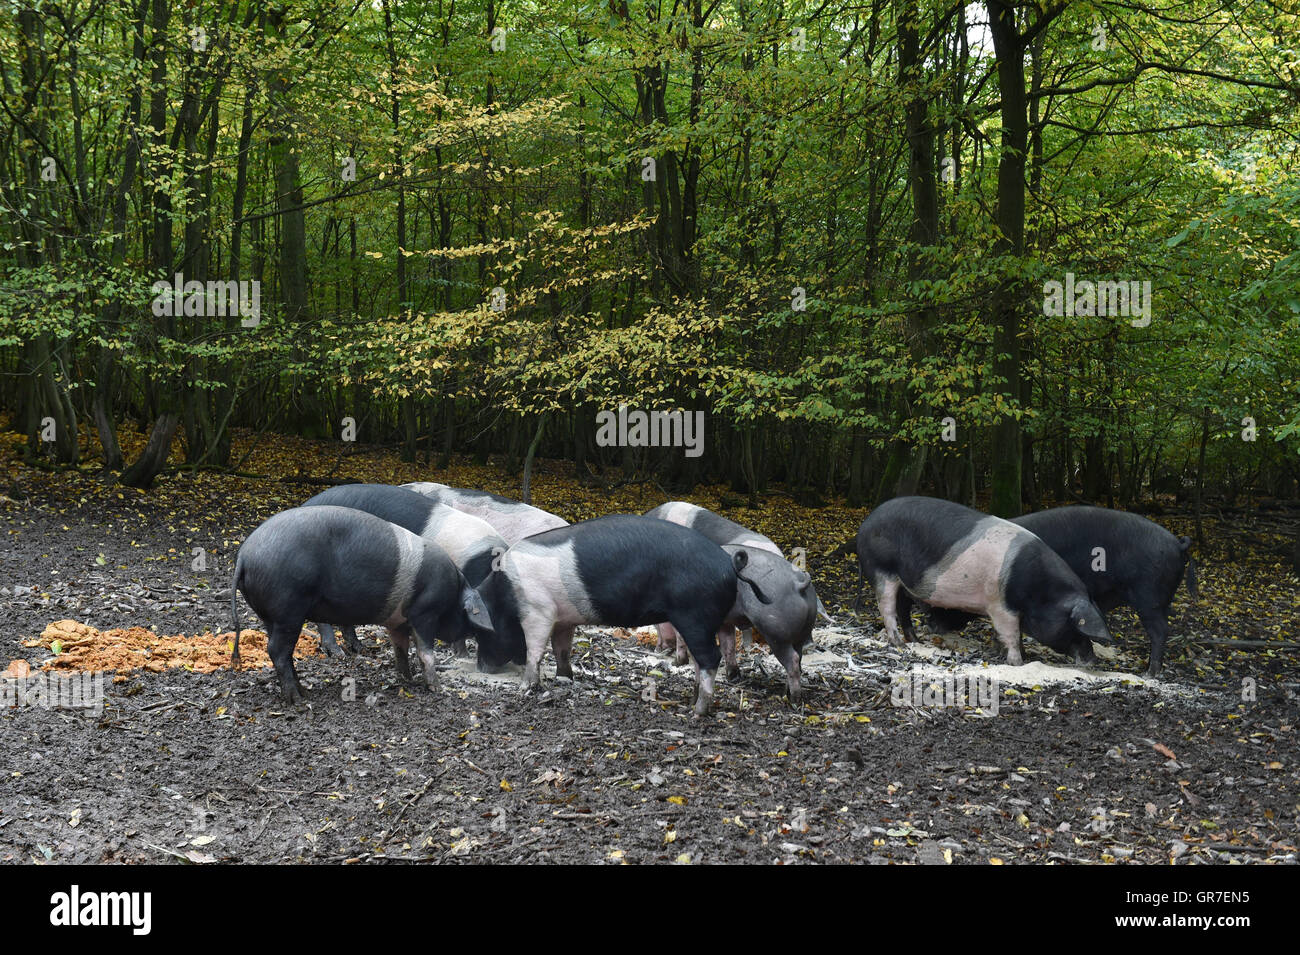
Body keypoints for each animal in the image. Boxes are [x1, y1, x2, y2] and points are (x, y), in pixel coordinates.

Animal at [230, 505, 494, 701]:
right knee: (277, 651)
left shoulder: (397, 621)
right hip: (288, 610)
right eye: (466, 615)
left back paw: (303, 691)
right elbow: (425, 653)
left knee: (282, 650)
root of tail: (244, 556)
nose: (476, 636)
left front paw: (406, 680)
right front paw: (437, 689)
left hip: (271, 616)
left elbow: (400, 649)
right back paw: (298, 699)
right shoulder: (424, 613)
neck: (454, 592)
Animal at [473, 514, 778, 717]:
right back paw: (692, 701)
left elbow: (535, 650)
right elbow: (562, 649)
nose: (482, 667)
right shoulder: (563, 618)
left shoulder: (538, 610)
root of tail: (729, 564)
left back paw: (697, 711)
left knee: (710, 657)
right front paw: (565, 678)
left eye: (483, 633)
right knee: (701, 659)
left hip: (694, 616)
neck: (506, 592)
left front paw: (526, 688)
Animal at [643, 501, 827, 700]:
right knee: (798, 656)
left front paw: (678, 663)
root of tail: (798, 583)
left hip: (775, 629)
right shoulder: (725, 621)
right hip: (799, 630)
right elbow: (727, 644)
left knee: (792, 660)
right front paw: (732, 675)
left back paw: (792, 698)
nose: (658, 648)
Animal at [853, 496, 1111, 665]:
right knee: (886, 607)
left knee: (903, 608)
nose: (1092, 661)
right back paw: (899, 644)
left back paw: (915, 640)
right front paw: (1018, 663)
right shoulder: (1000, 605)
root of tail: (864, 526)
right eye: (1074, 626)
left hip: (905, 583)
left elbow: (1013, 634)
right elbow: (1011, 634)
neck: (1041, 591)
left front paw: (1024, 656)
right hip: (881, 569)